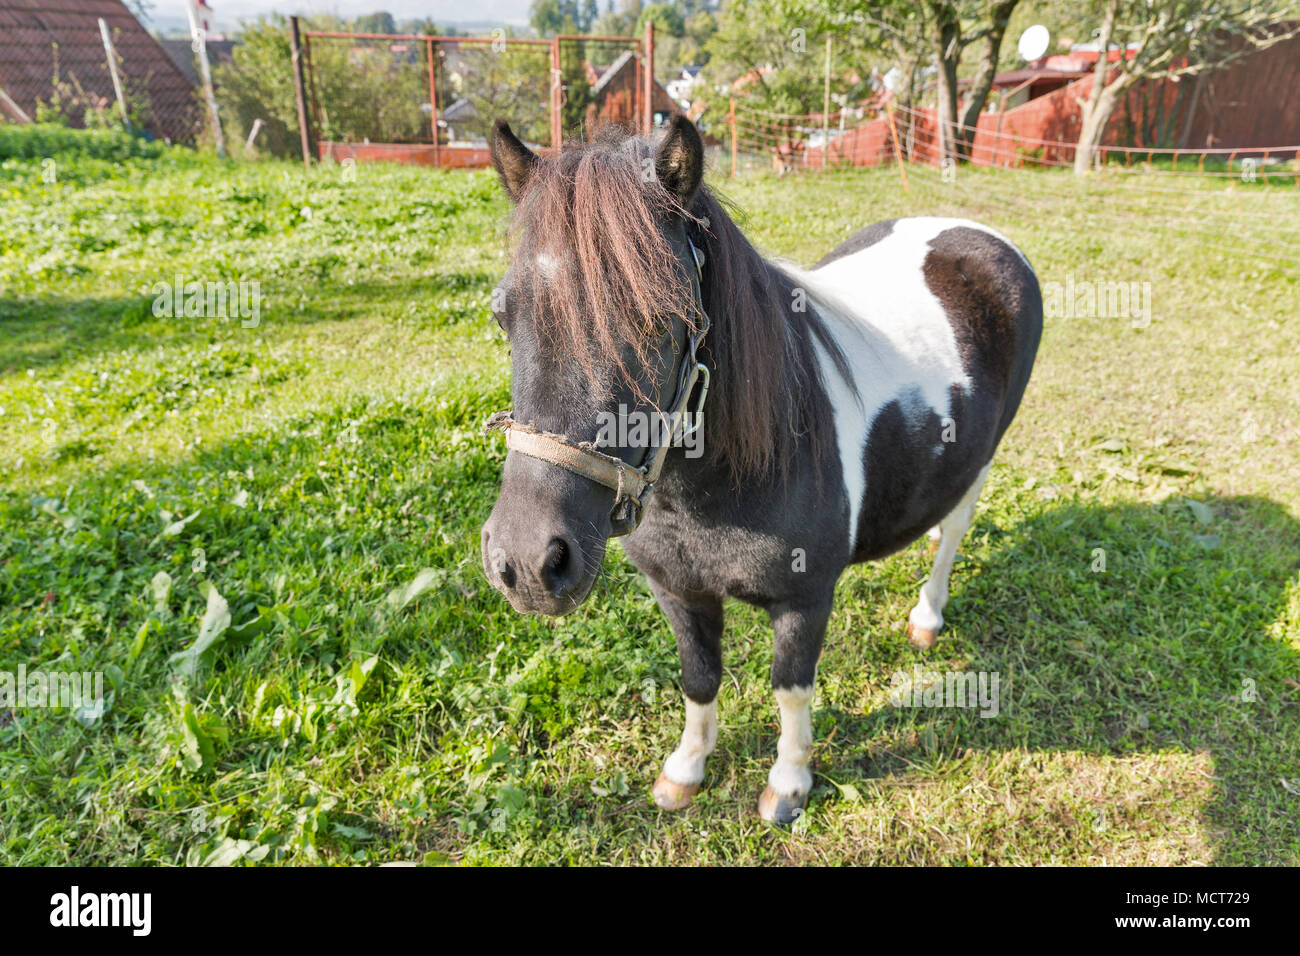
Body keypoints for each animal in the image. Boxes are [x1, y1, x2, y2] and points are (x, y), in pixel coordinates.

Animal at [480, 114, 1042, 823]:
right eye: (503, 315)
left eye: (659, 320)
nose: (527, 563)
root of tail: (983, 236)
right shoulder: (678, 590)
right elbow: (699, 679)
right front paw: (686, 770)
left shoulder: (804, 599)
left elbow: (791, 689)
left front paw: (788, 783)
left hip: (980, 465)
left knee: (952, 533)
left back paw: (927, 617)